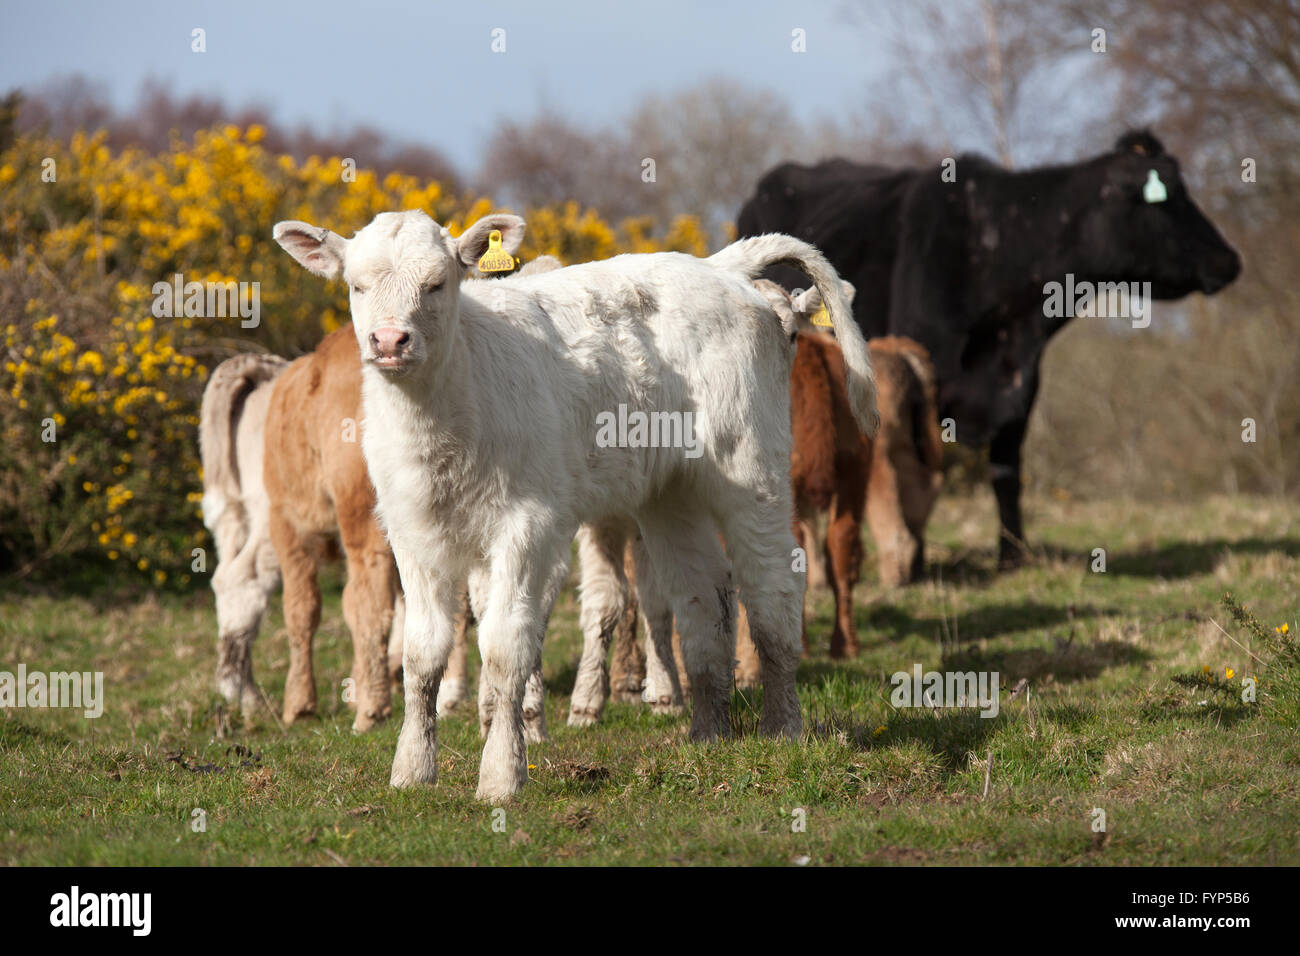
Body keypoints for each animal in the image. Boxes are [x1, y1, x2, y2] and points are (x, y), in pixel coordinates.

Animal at [737, 130, 1241, 568]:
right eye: (1168, 197)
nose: (1230, 260)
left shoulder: (1020, 386)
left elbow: (1007, 474)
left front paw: (1012, 555)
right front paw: (917, 561)